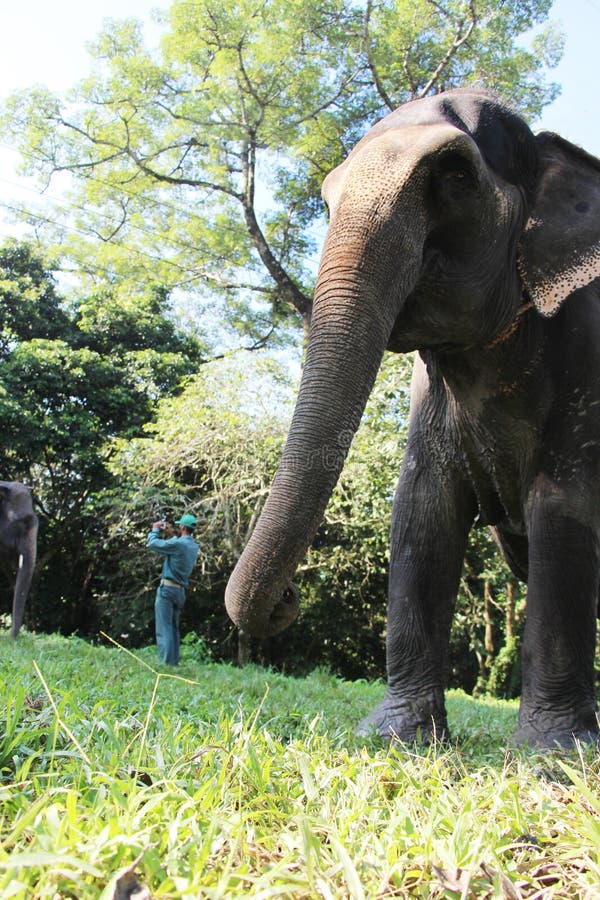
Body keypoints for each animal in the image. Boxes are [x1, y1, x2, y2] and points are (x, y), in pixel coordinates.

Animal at [225, 87, 600, 748]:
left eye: (455, 176)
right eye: (327, 198)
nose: (290, 597)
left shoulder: (584, 357)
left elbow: (562, 509)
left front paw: (554, 751)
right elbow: (422, 512)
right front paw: (395, 736)